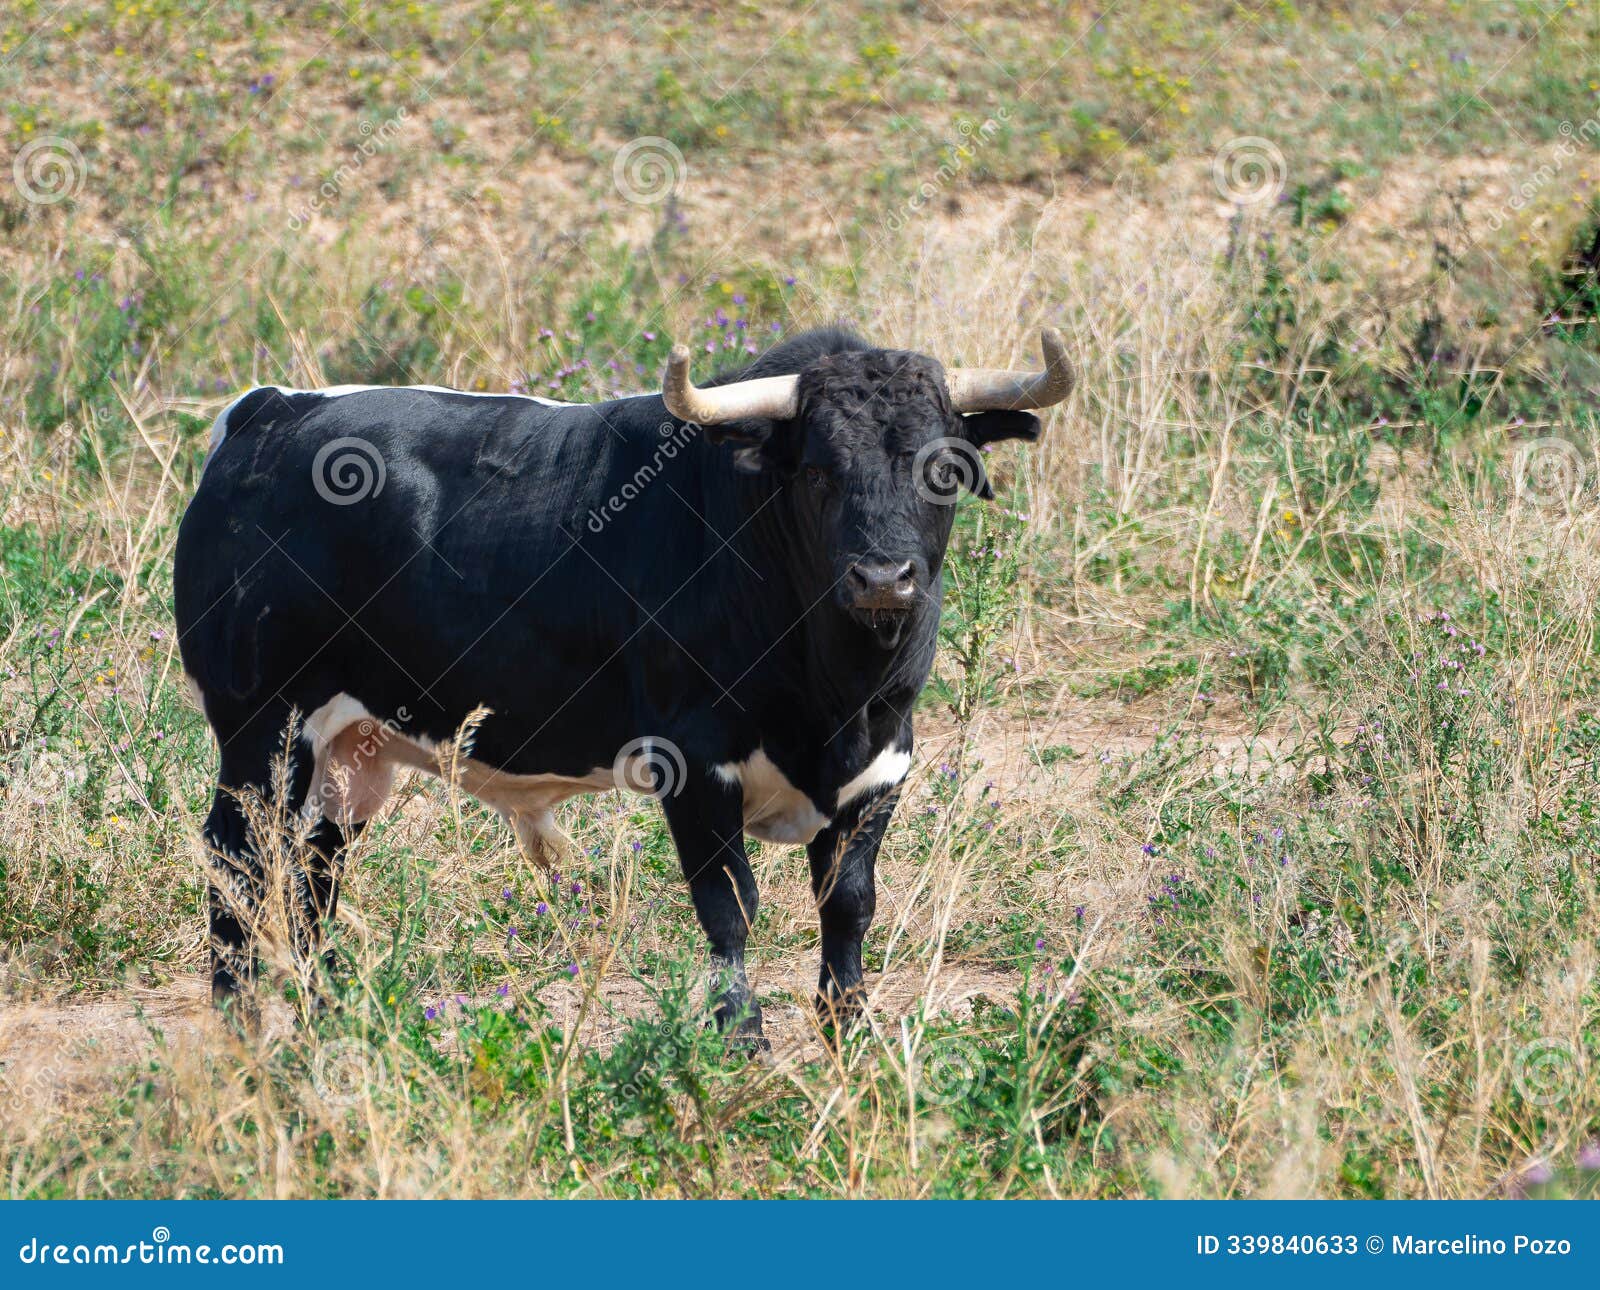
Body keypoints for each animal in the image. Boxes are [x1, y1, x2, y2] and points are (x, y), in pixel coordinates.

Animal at [173, 325, 1073, 1040]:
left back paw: (328, 1025)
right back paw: (242, 1031)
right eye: (819, 472)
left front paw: (851, 1042)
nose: (883, 578)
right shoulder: (695, 764)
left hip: (354, 753)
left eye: (944, 470)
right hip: (263, 729)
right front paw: (743, 1041)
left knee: (314, 877)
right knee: (238, 865)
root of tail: (270, 411)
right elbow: (730, 904)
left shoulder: (882, 769)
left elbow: (848, 907)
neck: (834, 698)